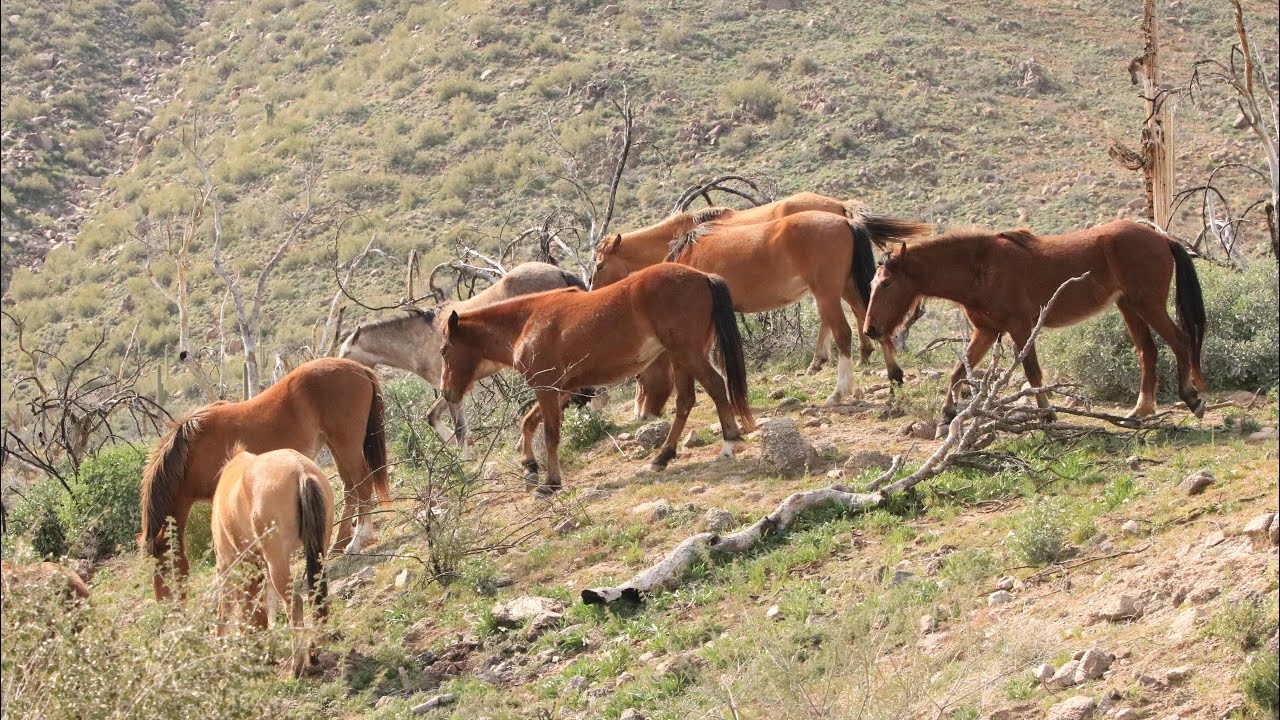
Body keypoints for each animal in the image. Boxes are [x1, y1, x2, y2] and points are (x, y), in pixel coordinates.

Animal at [139, 357, 389, 600]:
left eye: (163, 566)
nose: (166, 603)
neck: (192, 450)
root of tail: (360, 368)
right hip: (335, 445)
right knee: (351, 487)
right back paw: (339, 544)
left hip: (346, 443)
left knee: (363, 484)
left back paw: (359, 539)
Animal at [211, 448, 332, 679]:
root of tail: (301, 471)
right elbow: (268, 603)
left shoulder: (230, 563)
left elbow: (233, 605)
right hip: (315, 552)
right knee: (316, 598)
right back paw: (313, 654)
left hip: (276, 561)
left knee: (294, 603)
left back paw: (296, 667)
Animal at [339, 261, 586, 457]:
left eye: (345, 354)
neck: (420, 338)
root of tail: (560, 272)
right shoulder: (451, 387)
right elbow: (432, 416)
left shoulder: (454, 386)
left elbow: (459, 429)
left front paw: (465, 463)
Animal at [440, 263, 755, 495]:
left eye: (443, 350)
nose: (446, 393)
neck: (527, 323)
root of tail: (703, 277)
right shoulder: (564, 389)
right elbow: (529, 422)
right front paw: (530, 467)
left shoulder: (547, 388)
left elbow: (550, 434)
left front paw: (550, 484)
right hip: (681, 358)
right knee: (685, 401)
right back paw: (662, 458)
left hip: (688, 354)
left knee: (716, 387)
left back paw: (728, 444)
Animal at [862, 219, 1207, 423]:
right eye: (872, 283)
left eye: (887, 284)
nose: (870, 329)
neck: (981, 268)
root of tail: (1162, 238)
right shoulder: (986, 331)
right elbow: (959, 370)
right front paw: (947, 414)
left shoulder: (1019, 327)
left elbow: (1031, 370)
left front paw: (1046, 414)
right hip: (1129, 306)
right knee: (1147, 351)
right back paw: (1140, 410)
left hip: (1147, 304)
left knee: (1179, 341)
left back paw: (1191, 399)